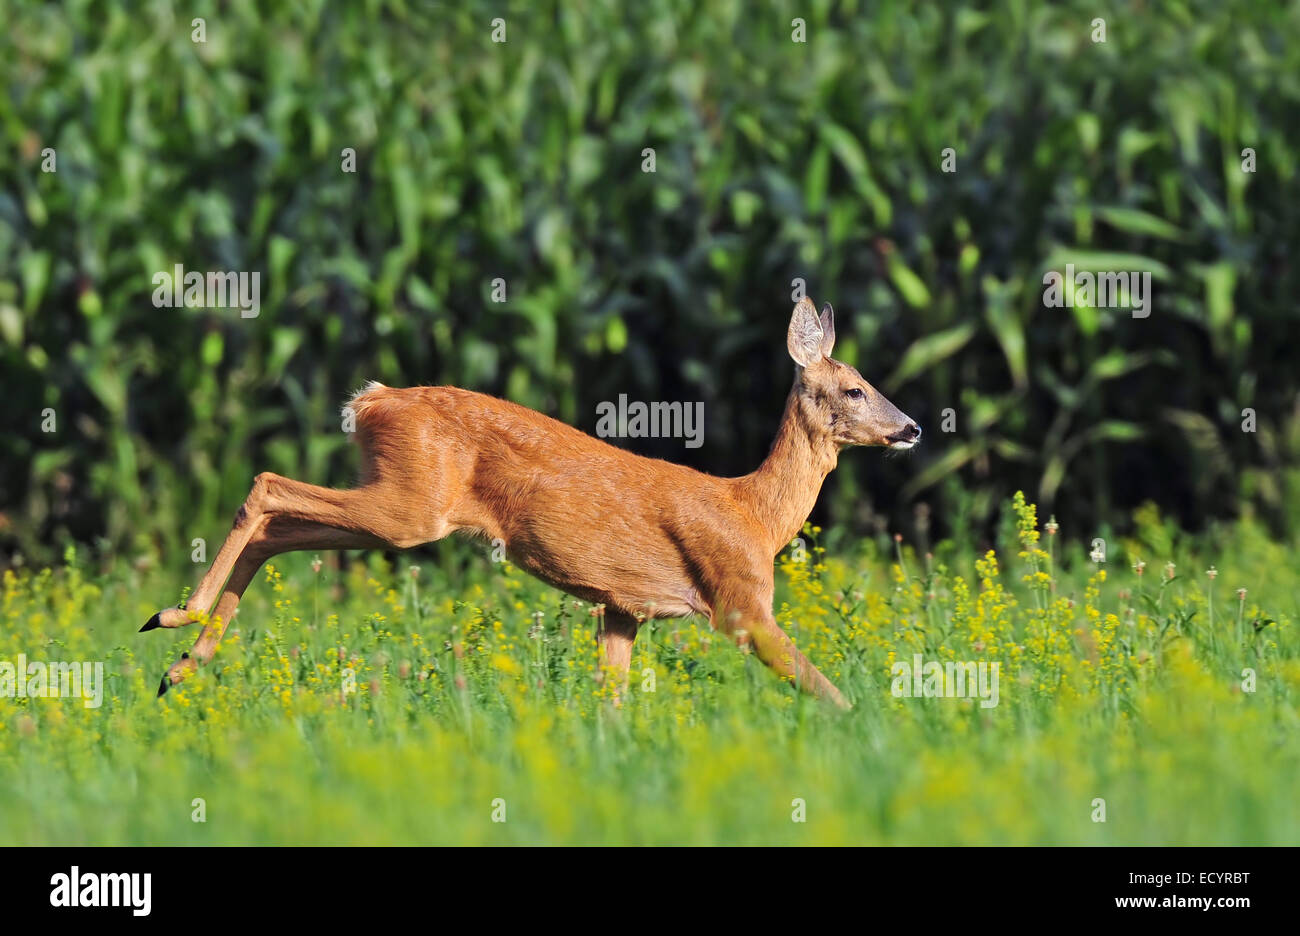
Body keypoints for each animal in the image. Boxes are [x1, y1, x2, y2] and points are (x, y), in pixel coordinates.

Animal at [143, 296, 921, 708]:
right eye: (854, 388)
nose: (912, 428)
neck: (754, 513)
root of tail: (370, 401)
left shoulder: (623, 609)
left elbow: (612, 704)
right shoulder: (739, 603)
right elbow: (824, 689)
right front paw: (869, 729)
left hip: (393, 505)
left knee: (277, 528)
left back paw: (178, 661)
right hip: (408, 509)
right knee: (267, 485)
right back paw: (175, 619)